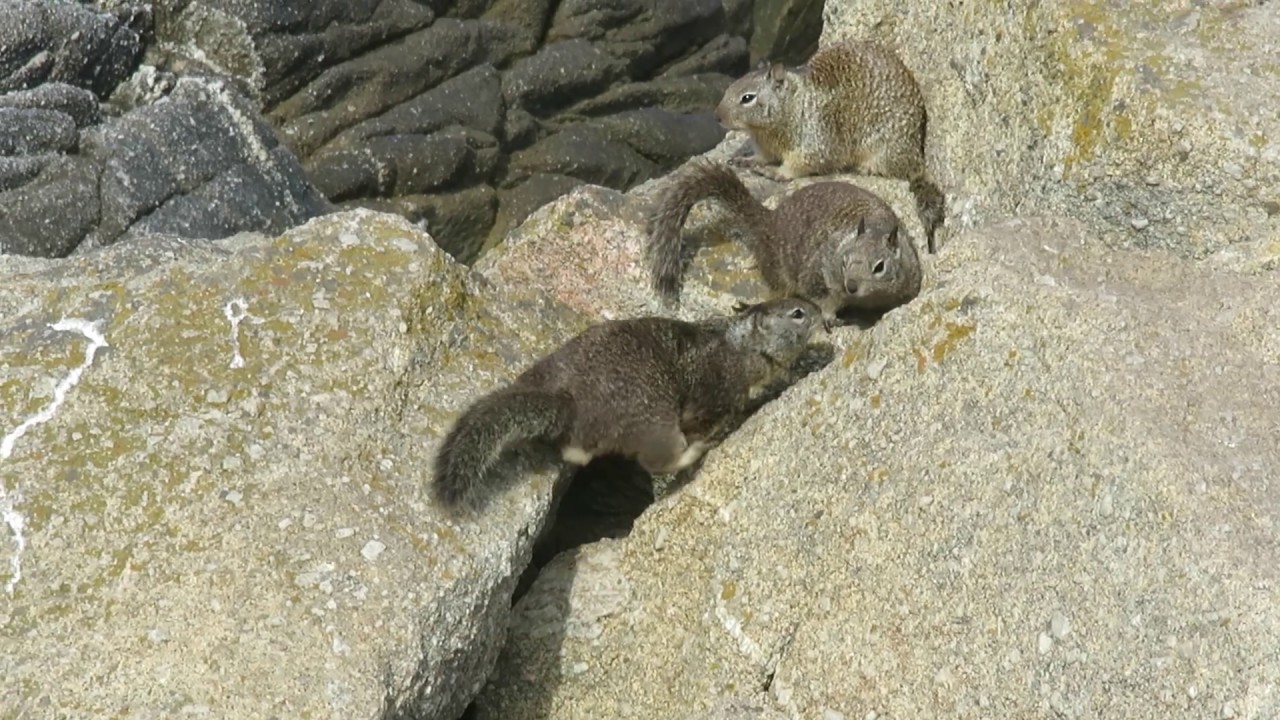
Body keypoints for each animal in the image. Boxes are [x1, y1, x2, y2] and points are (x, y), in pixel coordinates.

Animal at [431, 297, 824, 513]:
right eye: (798, 313)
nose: (824, 313)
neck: (743, 345)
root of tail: (568, 400)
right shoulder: (722, 392)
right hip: (653, 420)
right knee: (657, 459)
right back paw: (694, 452)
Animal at [645, 159, 922, 323]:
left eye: (879, 267)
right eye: (844, 262)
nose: (851, 286)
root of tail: (770, 220)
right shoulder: (815, 274)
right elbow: (820, 297)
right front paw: (829, 316)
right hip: (778, 269)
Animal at [714, 39, 946, 254]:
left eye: (747, 98)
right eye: (729, 88)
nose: (717, 117)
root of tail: (917, 159)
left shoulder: (813, 142)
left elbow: (798, 165)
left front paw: (776, 172)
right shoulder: (765, 146)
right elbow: (761, 157)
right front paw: (745, 160)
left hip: (884, 149)